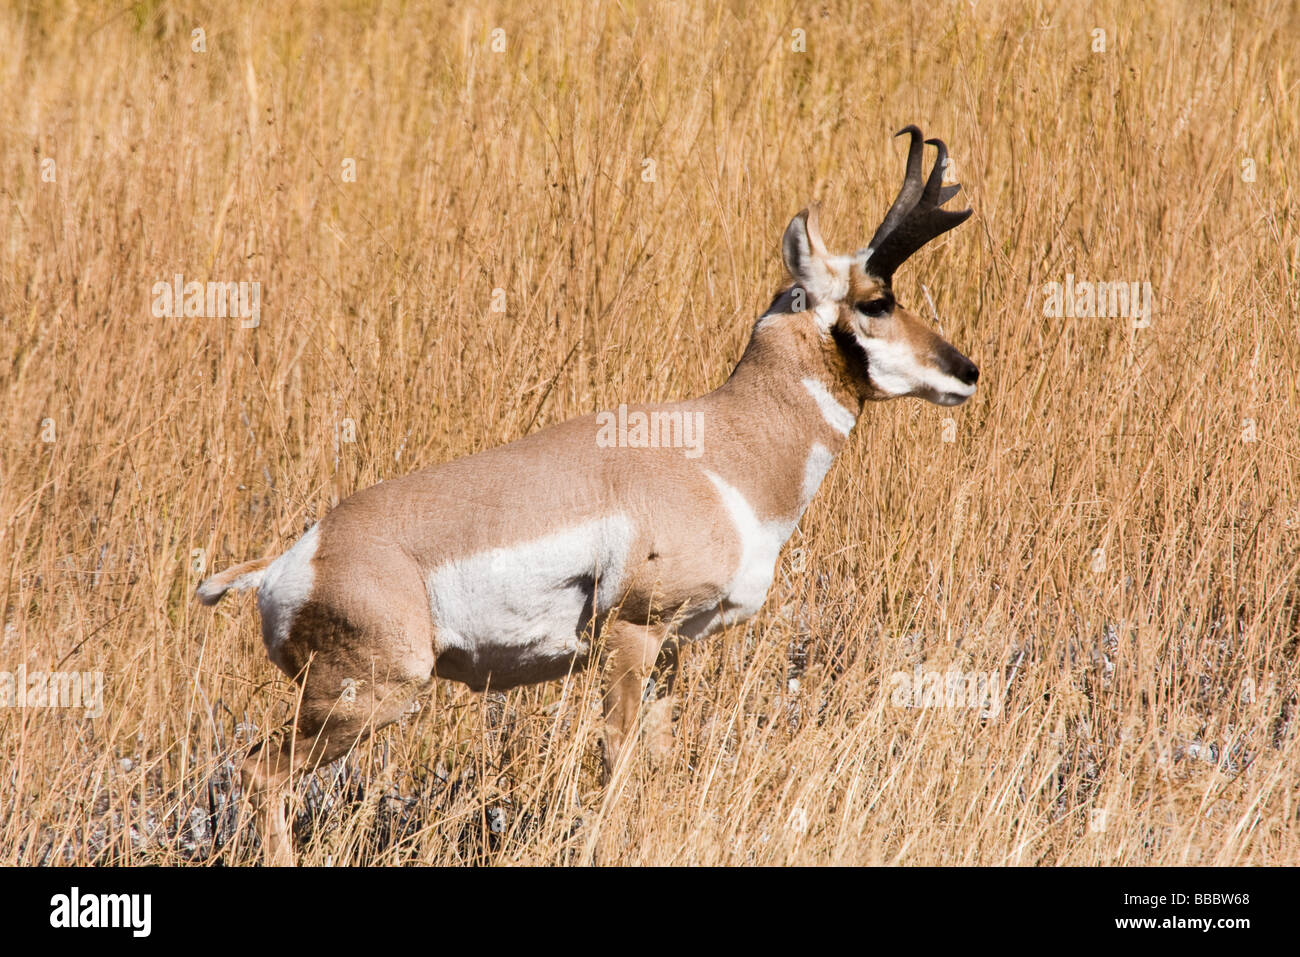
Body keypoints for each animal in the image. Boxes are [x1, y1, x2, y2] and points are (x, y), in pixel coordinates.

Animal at [196, 125, 979, 864]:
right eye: (877, 301)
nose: (966, 370)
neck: (721, 447)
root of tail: (293, 560)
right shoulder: (632, 632)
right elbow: (615, 757)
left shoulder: (675, 646)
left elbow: (658, 756)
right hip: (368, 698)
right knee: (259, 770)